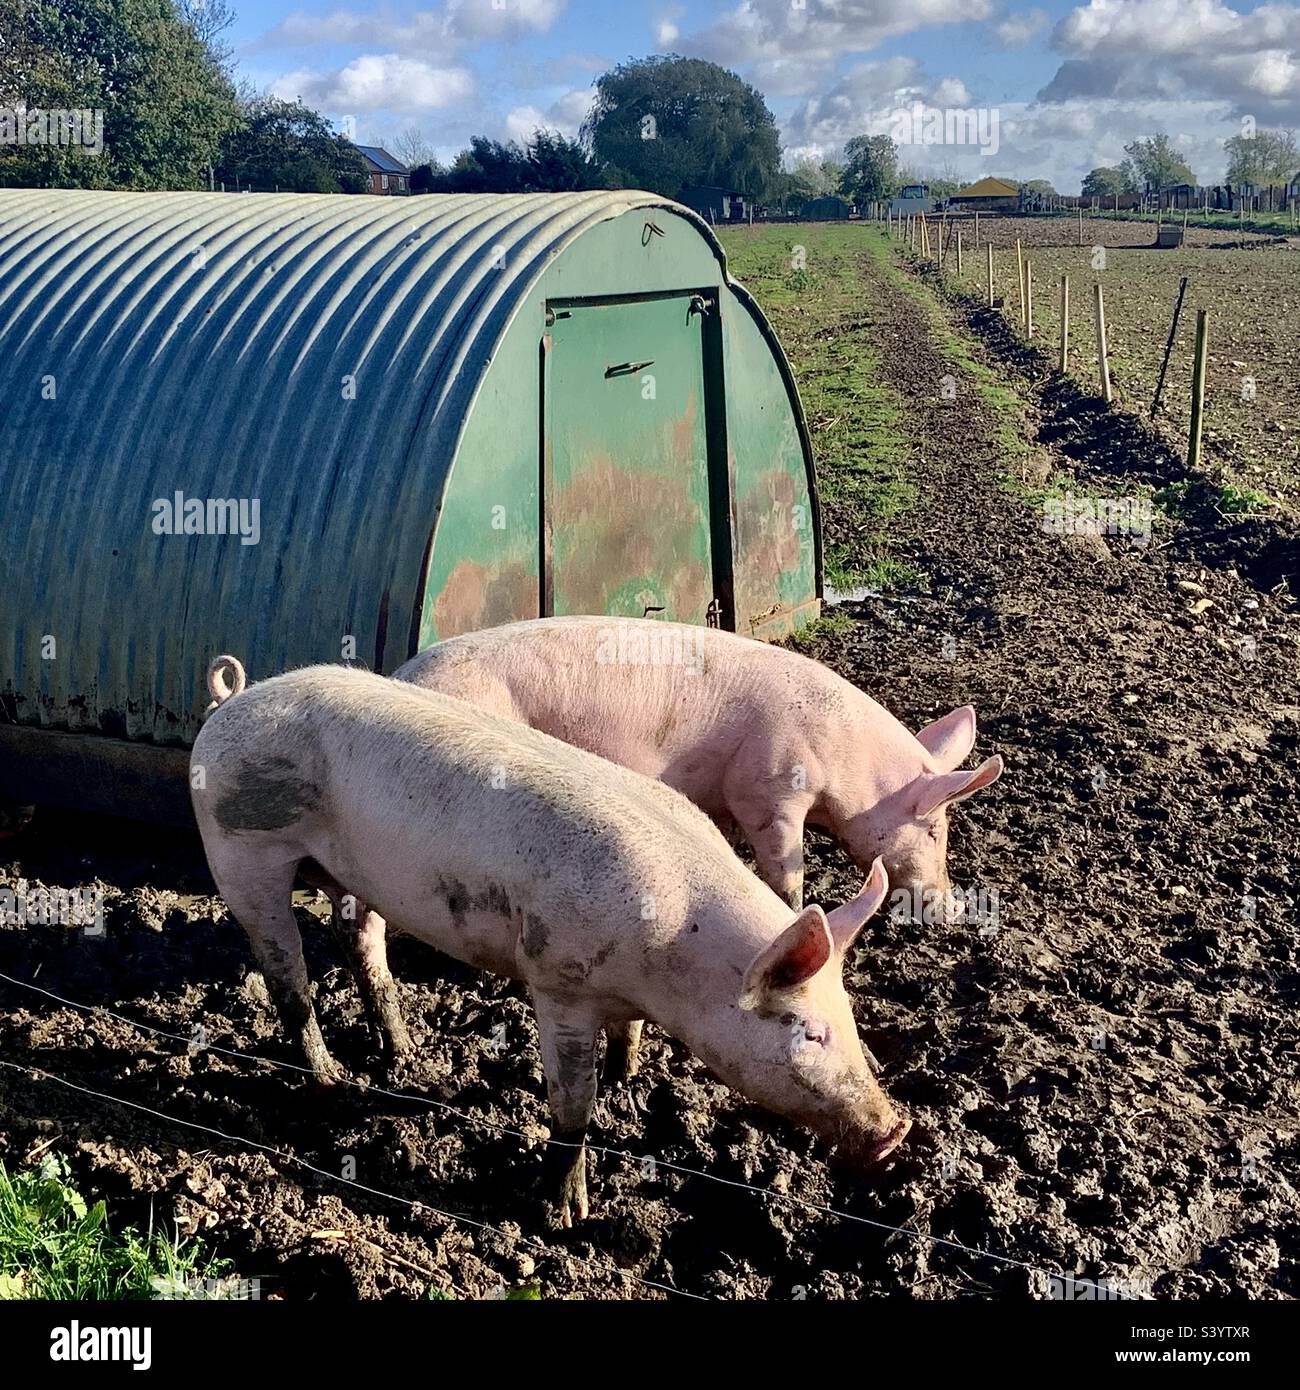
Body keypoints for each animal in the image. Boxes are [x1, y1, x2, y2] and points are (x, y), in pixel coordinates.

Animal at [192, 659, 909, 1222]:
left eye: (851, 1018)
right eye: (808, 1031)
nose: (895, 1131)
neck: (675, 957)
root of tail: (230, 702)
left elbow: (627, 1040)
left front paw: (630, 1086)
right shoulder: (558, 980)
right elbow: (572, 1102)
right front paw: (564, 1215)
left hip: (350, 874)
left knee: (360, 942)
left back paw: (406, 1056)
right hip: (241, 851)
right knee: (288, 978)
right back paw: (331, 1083)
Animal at [394, 617, 1002, 915]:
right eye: (937, 829)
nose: (951, 910)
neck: (845, 761)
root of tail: (402, 678)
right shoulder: (769, 789)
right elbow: (786, 868)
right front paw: (791, 904)